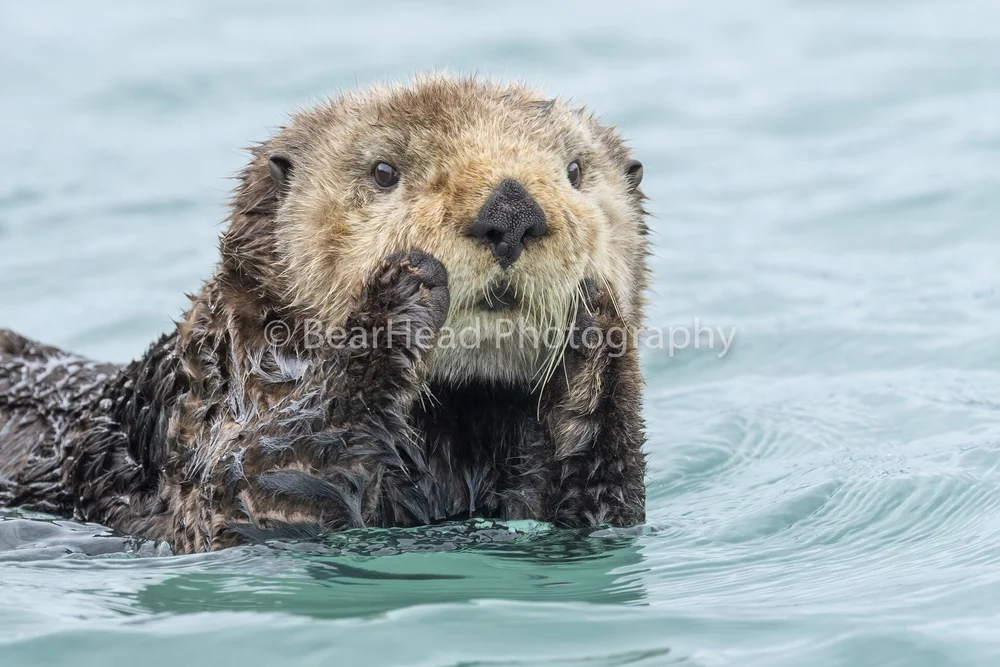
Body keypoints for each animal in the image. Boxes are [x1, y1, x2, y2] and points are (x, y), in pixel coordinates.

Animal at [0, 76, 649, 554]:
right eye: (384, 172)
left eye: (574, 172)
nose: (511, 210)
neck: (452, 427)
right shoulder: (203, 430)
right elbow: (251, 502)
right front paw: (400, 291)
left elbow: (597, 505)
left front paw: (597, 328)